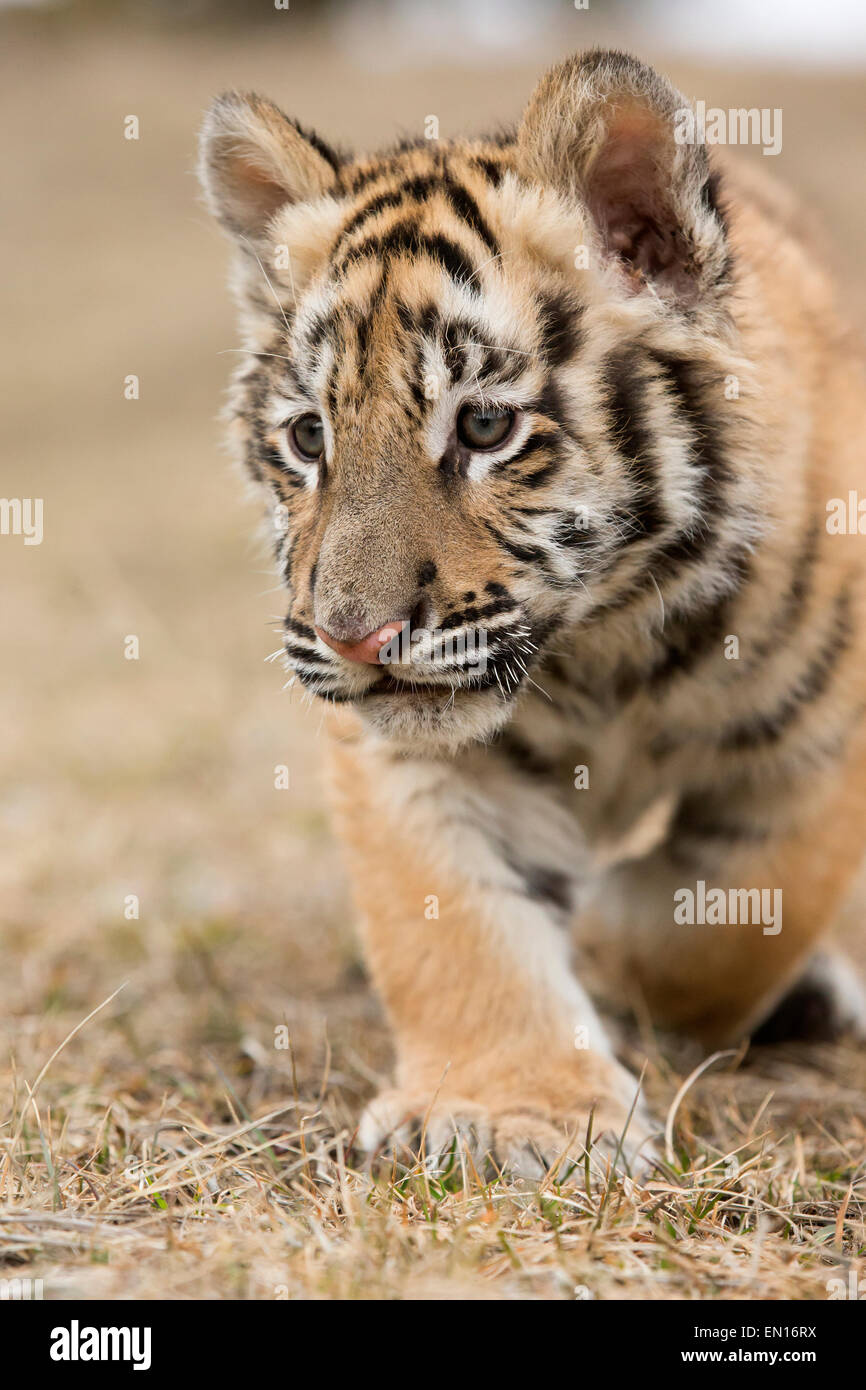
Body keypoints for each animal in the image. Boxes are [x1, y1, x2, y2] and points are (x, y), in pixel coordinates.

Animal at [198, 49, 866, 1177]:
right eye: (306, 438)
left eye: (482, 427)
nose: (349, 634)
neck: (603, 635)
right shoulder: (413, 752)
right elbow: (452, 925)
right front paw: (515, 1113)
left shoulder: (818, 744)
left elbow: (732, 924)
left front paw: (602, 936)